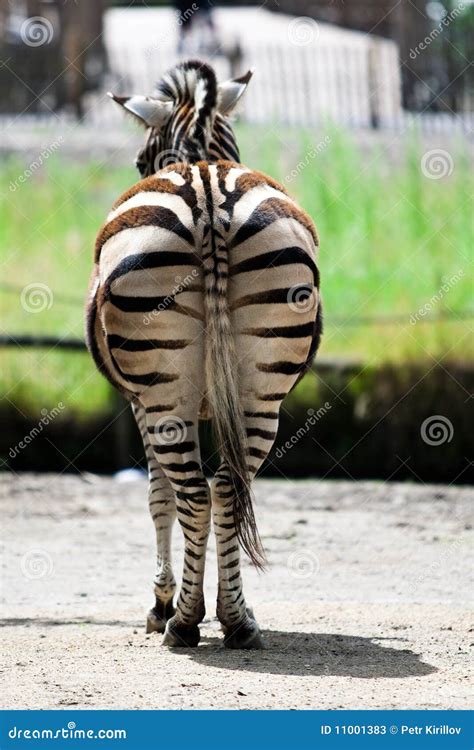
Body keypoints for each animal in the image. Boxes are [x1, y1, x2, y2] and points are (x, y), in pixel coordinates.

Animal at [86, 60, 322, 650]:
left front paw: (159, 602)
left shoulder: (139, 405)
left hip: (164, 397)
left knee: (192, 493)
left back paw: (184, 620)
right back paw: (237, 620)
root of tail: (208, 190)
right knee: (230, 489)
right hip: (263, 391)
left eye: (140, 160)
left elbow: (158, 498)